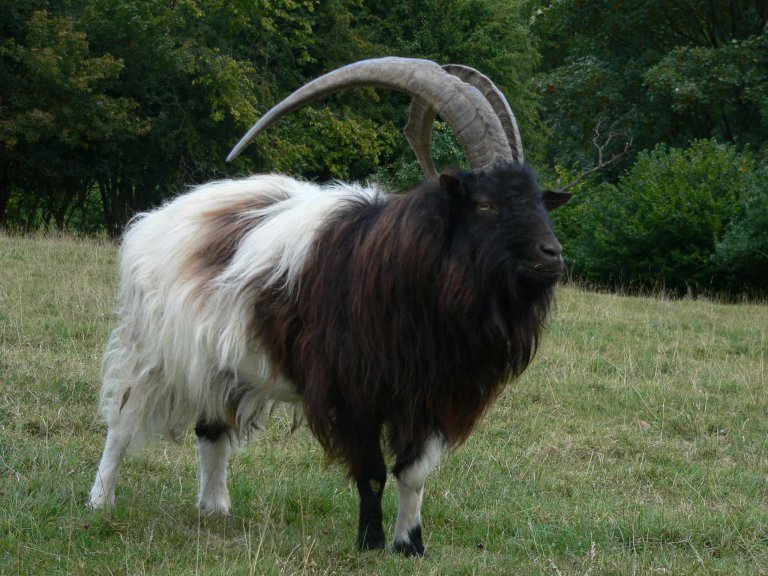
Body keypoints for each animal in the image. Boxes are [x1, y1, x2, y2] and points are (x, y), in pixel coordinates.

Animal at [88, 57, 571, 556]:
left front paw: (410, 544)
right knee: (121, 421)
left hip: (219, 361)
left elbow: (413, 474)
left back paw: (215, 507)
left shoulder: (428, 395)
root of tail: (160, 216)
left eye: (540, 201)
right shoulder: (351, 390)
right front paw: (371, 543)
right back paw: (101, 502)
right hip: (152, 349)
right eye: (484, 204)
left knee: (212, 427)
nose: (552, 255)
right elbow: (373, 473)